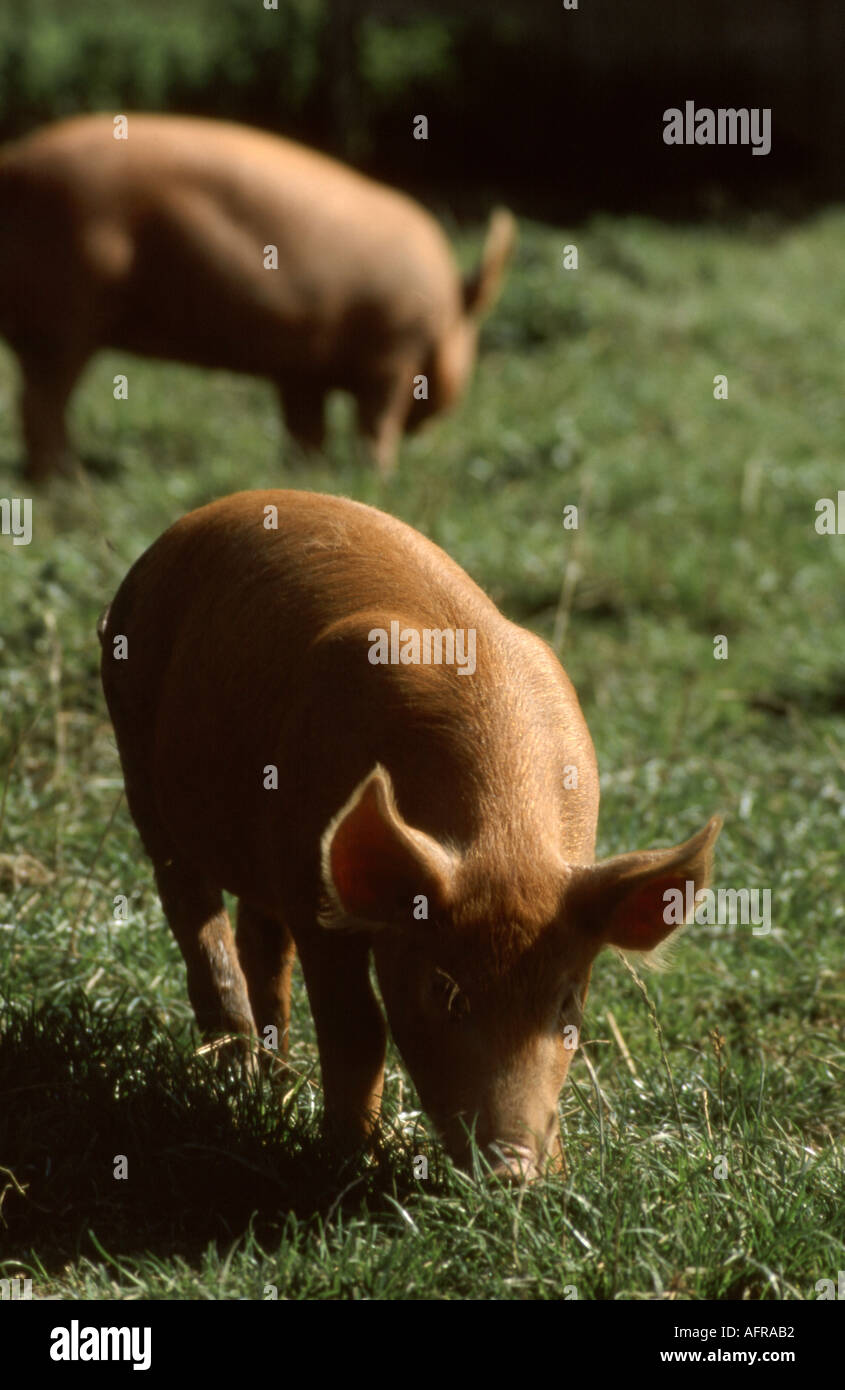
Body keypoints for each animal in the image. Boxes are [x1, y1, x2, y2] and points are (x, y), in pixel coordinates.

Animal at [0, 113, 515, 482]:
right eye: (472, 341)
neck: (446, 312)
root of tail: (14, 162)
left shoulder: (302, 367)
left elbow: (305, 428)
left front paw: (307, 476)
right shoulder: (392, 351)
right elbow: (375, 422)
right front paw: (380, 478)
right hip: (67, 311)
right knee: (39, 404)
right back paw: (64, 481)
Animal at [99, 489, 721, 1181]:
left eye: (566, 1004)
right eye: (445, 992)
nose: (514, 1170)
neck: (503, 843)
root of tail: (192, 522)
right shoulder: (315, 894)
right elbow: (358, 1028)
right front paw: (349, 1160)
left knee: (261, 945)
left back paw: (275, 1083)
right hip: (138, 759)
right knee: (196, 921)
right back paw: (236, 1083)